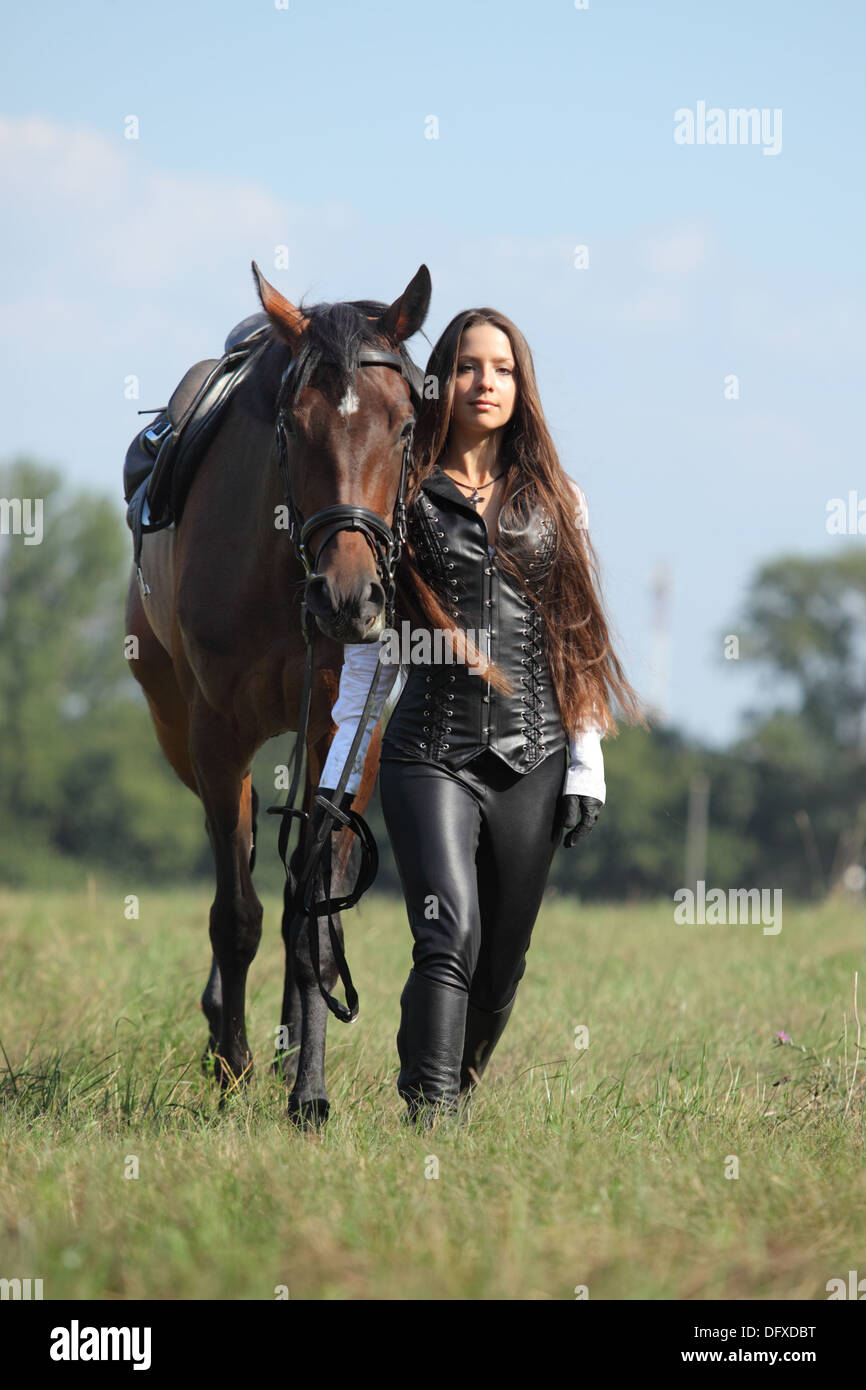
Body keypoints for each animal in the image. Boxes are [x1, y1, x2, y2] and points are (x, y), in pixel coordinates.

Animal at [125, 262, 432, 1126]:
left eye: (406, 427)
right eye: (292, 430)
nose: (350, 596)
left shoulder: (346, 729)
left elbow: (312, 914)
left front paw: (309, 1091)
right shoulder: (215, 733)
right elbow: (236, 913)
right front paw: (230, 1066)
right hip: (176, 728)